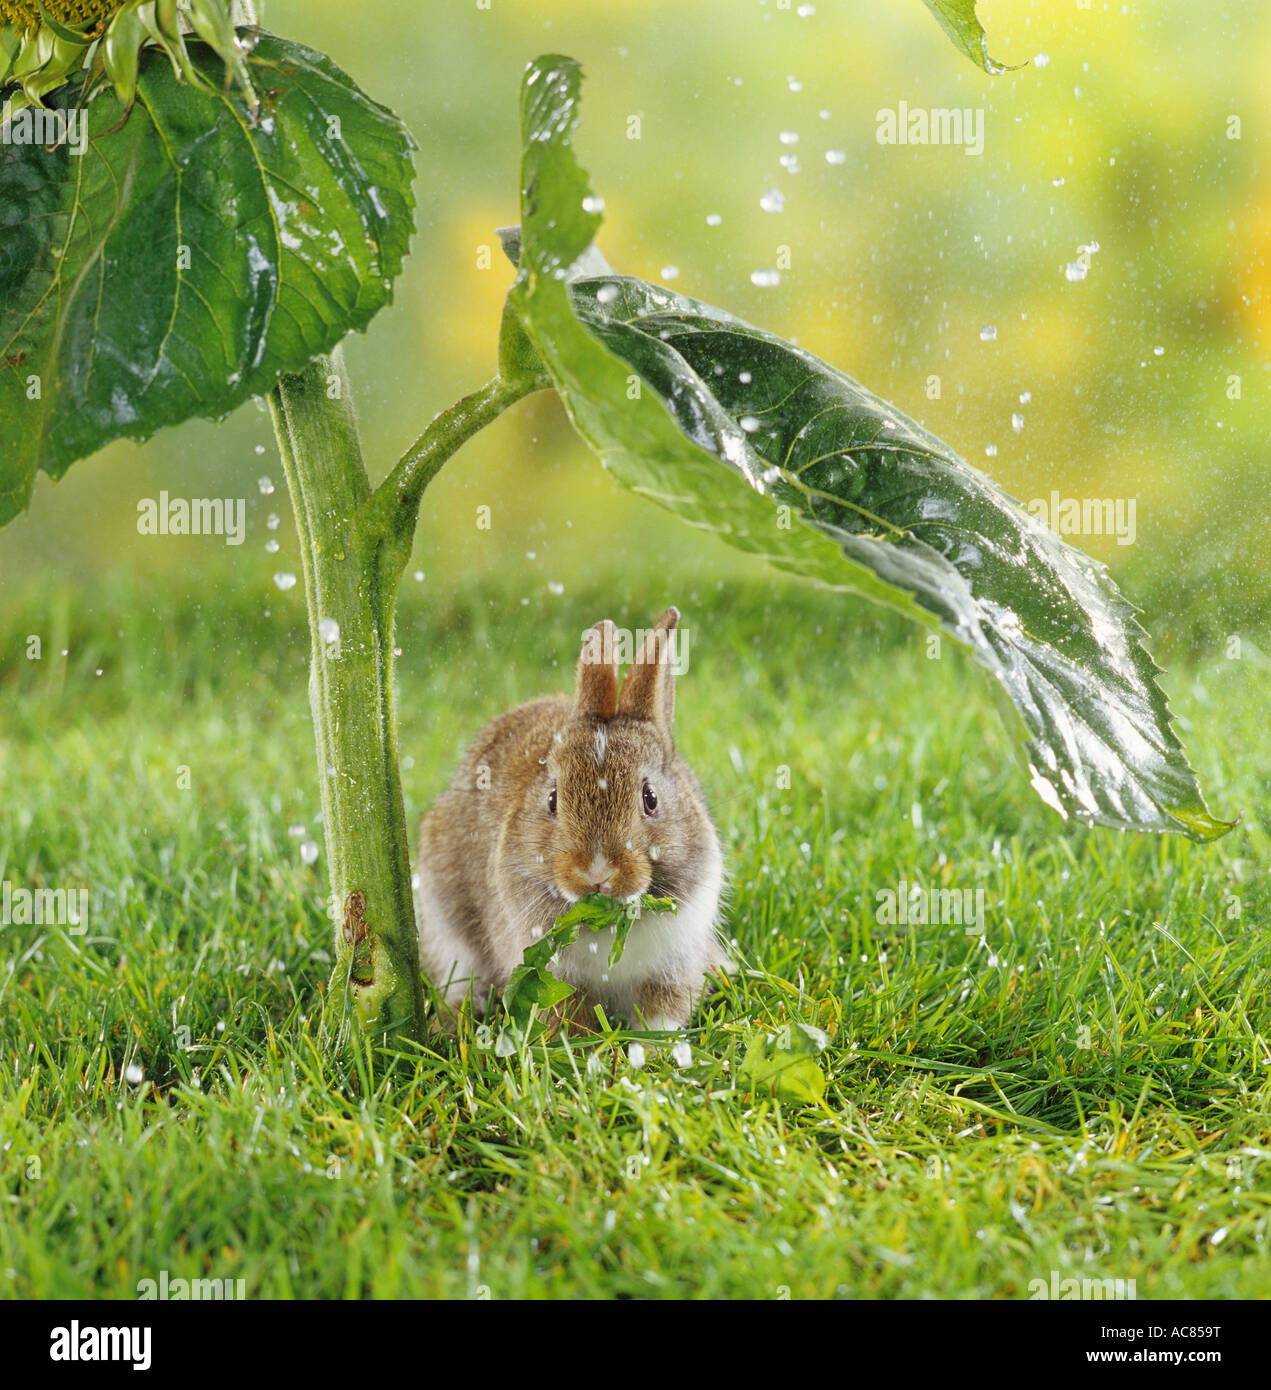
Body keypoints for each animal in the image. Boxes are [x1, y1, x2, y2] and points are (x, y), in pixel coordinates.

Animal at [415, 606, 728, 1031]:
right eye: (552, 800)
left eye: (650, 799)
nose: (597, 871)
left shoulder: (672, 968)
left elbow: (661, 1016)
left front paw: (651, 1045)